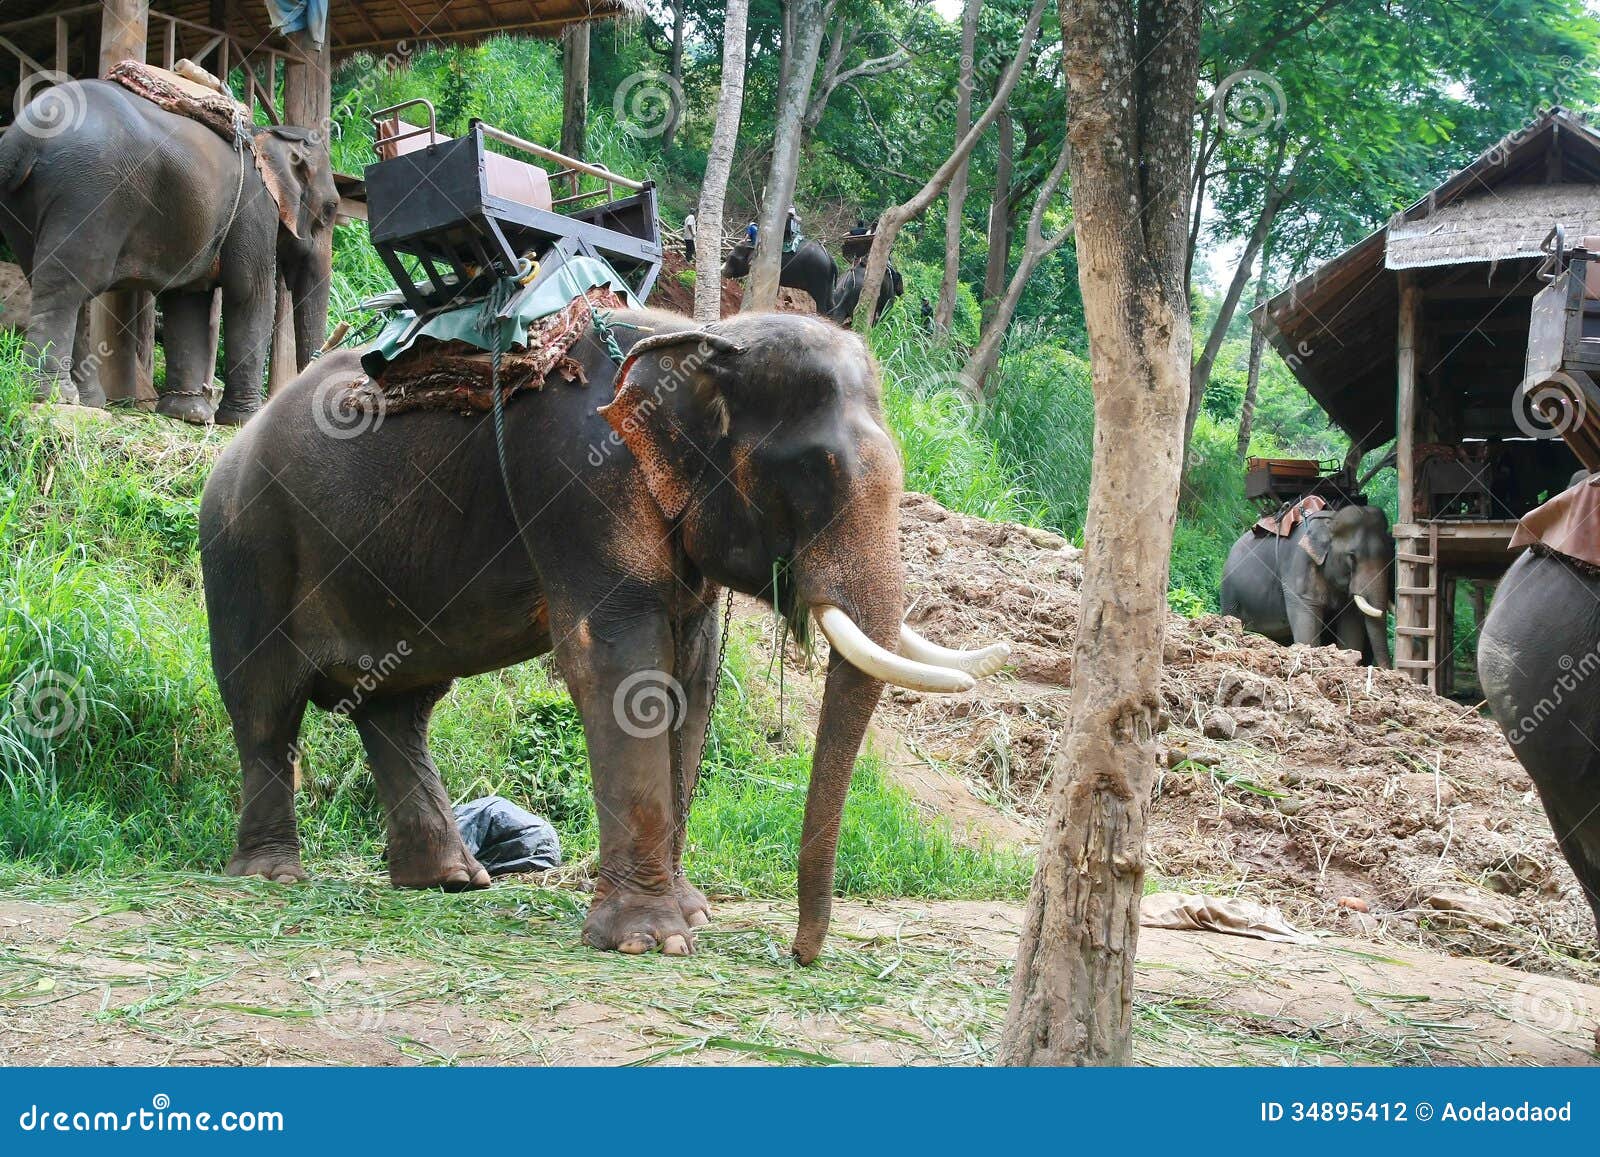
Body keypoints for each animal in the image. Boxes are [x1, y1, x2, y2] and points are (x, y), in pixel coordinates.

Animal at [0, 78, 338, 424]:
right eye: (330, 209)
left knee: (55, 285)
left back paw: (88, 400)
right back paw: (54, 395)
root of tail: (23, 141)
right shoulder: (254, 210)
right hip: (87, 194)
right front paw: (242, 421)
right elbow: (250, 294)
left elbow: (186, 299)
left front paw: (188, 415)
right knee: (66, 286)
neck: (266, 133)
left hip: (23, 207)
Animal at [198, 308, 1007, 962]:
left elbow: (693, 674)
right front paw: (650, 940)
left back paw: (450, 881)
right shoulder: (579, 486)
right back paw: (272, 874)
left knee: (398, 706)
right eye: (814, 468)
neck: (704, 339)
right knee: (265, 705)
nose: (800, 954)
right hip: (247, 553)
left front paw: (693, 915)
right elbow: (619, 665)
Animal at [1219, 503, 1393, 666]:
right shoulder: (1299, 566)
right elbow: (1306, 625)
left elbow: (1351, 624)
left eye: (1389, 555)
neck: (1331, 519)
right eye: (1351, 556)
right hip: (1230, 595)